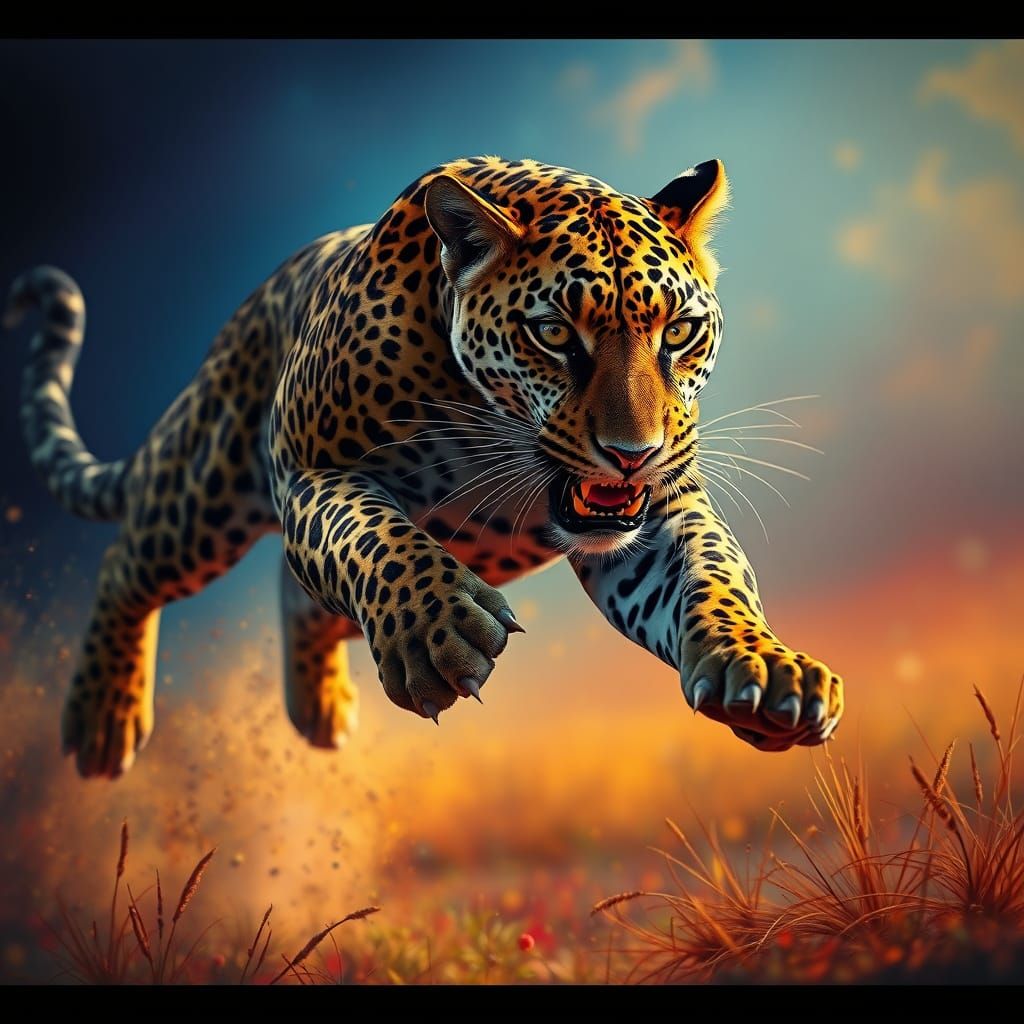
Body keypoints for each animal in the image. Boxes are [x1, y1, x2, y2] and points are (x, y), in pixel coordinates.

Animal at [5, 155, 844, 779]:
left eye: (680, 332)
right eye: (552, 333)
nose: (632, 454)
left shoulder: (660, 510)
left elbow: (712, 574)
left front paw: (764, 671)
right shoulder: (311, 468)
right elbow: (370, 536)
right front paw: (433, 634)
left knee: (298, 592)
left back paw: (319, 710)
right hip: (204, 489)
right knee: (130, 563)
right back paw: (103, 720)